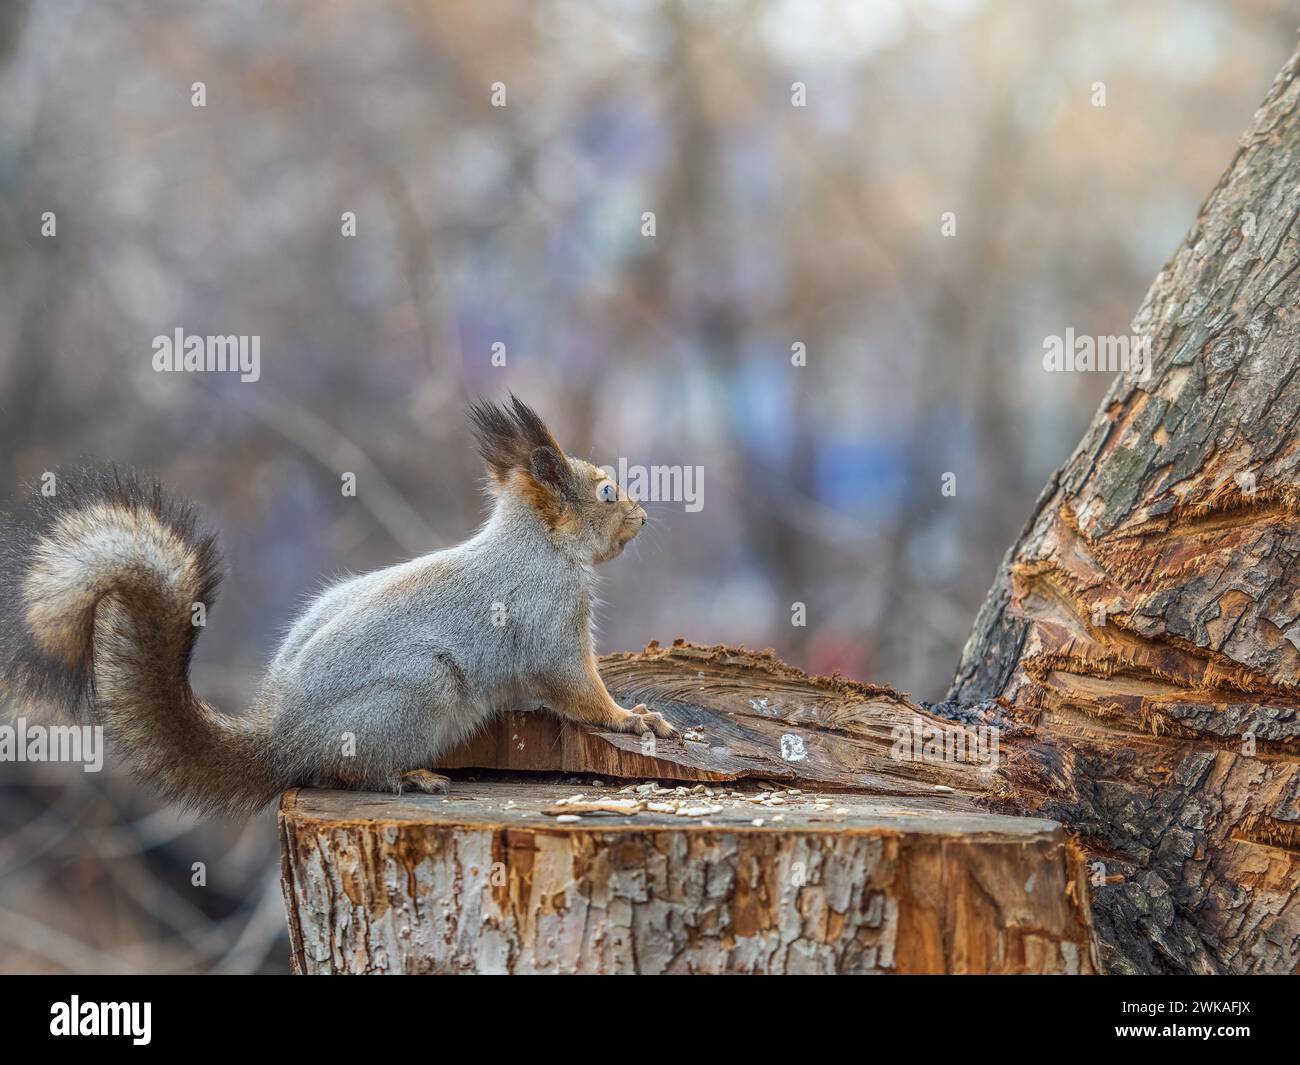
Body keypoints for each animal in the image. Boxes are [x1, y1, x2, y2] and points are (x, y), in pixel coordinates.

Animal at [0, 396, 676, 816]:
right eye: (607, 493)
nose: (645, 515)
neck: (536, 544)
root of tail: (280, 741)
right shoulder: (546, 618)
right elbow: (575, 686)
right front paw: (633, 718)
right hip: (416, 694)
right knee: (349, 773)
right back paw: (409, 776)